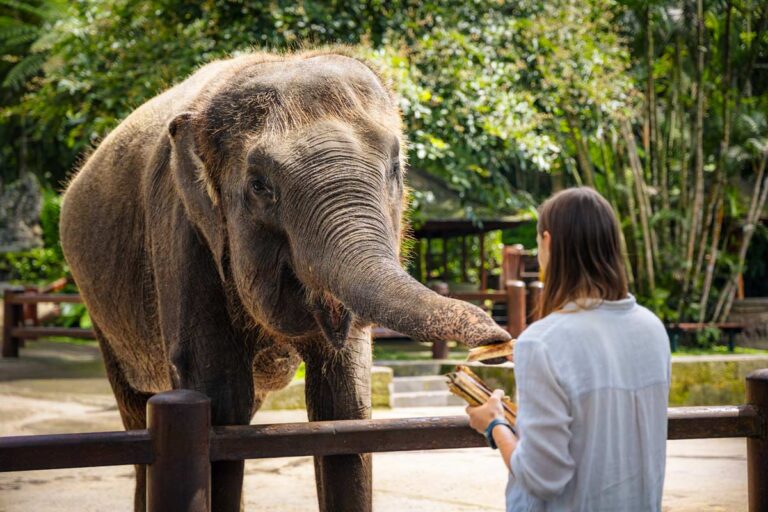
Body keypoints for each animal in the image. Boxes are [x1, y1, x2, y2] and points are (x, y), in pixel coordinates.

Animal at [59, 49, 510, 512]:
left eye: (394, 169)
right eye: (260, 187)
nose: (497, 338)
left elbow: (345, 402)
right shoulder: (181, 232)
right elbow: (219, 392)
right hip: (101, 313)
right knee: (137, 413)